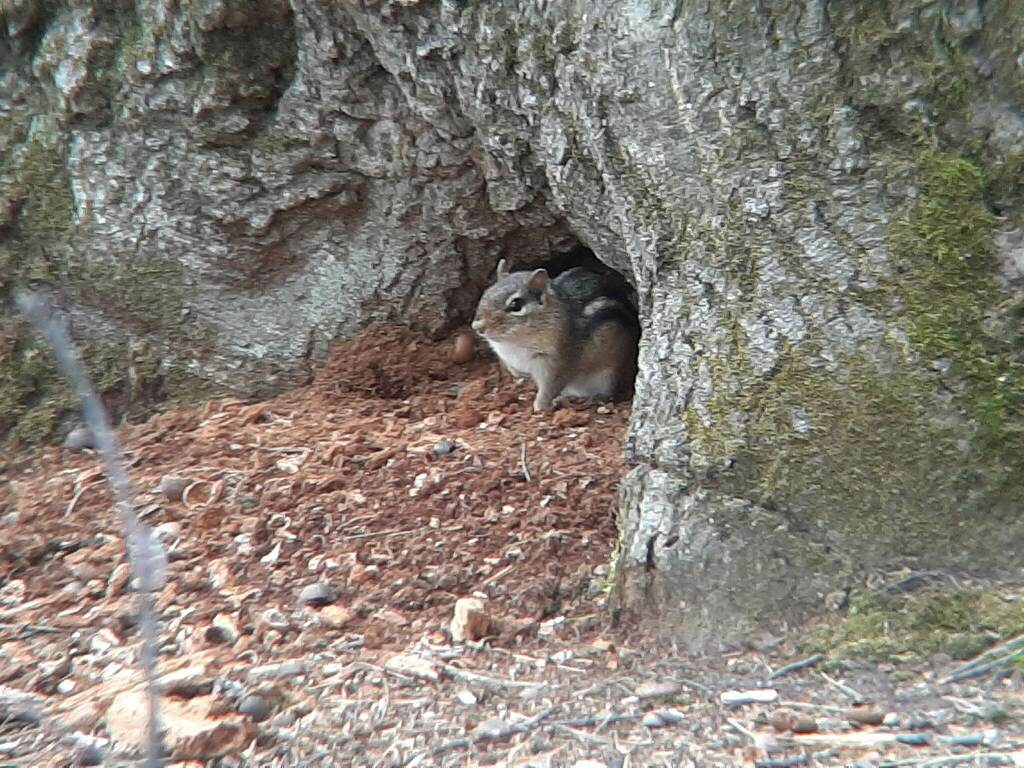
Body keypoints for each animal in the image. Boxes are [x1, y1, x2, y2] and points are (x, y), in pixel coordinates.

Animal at [471, 258, 640, 412]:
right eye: (486, 293)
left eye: (516, 305)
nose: (477, 327)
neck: (513, 343)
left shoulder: (557, 362)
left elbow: (550, 387)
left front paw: (540, 406)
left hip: (610, 375)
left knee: (610, 393)